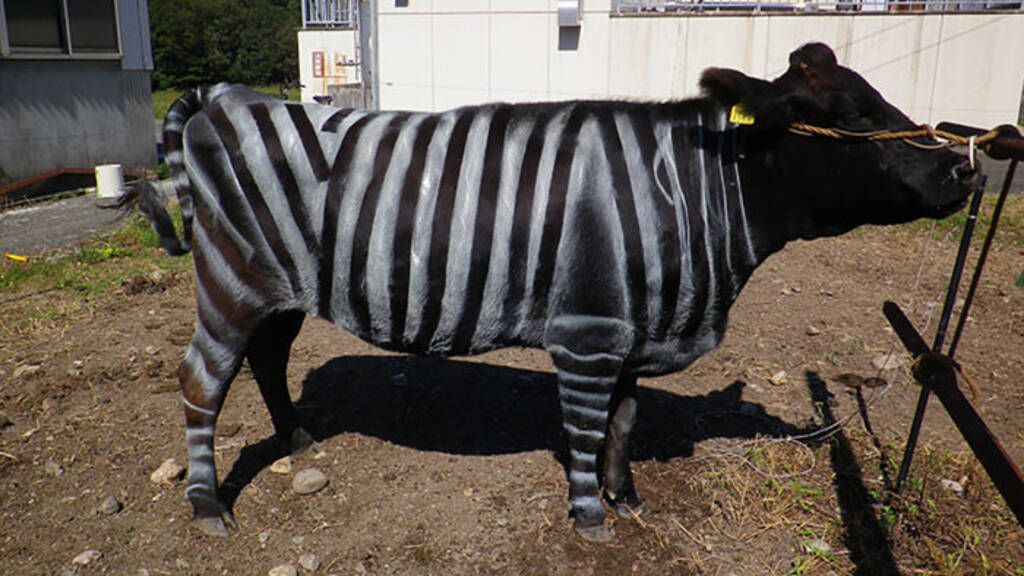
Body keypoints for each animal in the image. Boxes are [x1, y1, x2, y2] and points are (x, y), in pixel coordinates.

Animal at [133, 43, 977, 541]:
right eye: (851, 116)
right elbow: (583, 428)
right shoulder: (589, 333)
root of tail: (230, 97)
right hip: (233, 280)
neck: (689, 194)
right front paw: (589, 518)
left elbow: (624, 423)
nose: (965, 169)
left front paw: (626, 498)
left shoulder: (636, 329)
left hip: (281, 286)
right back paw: (207, 508)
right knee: (202, 380)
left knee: (268, 359)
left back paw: (300, 439)